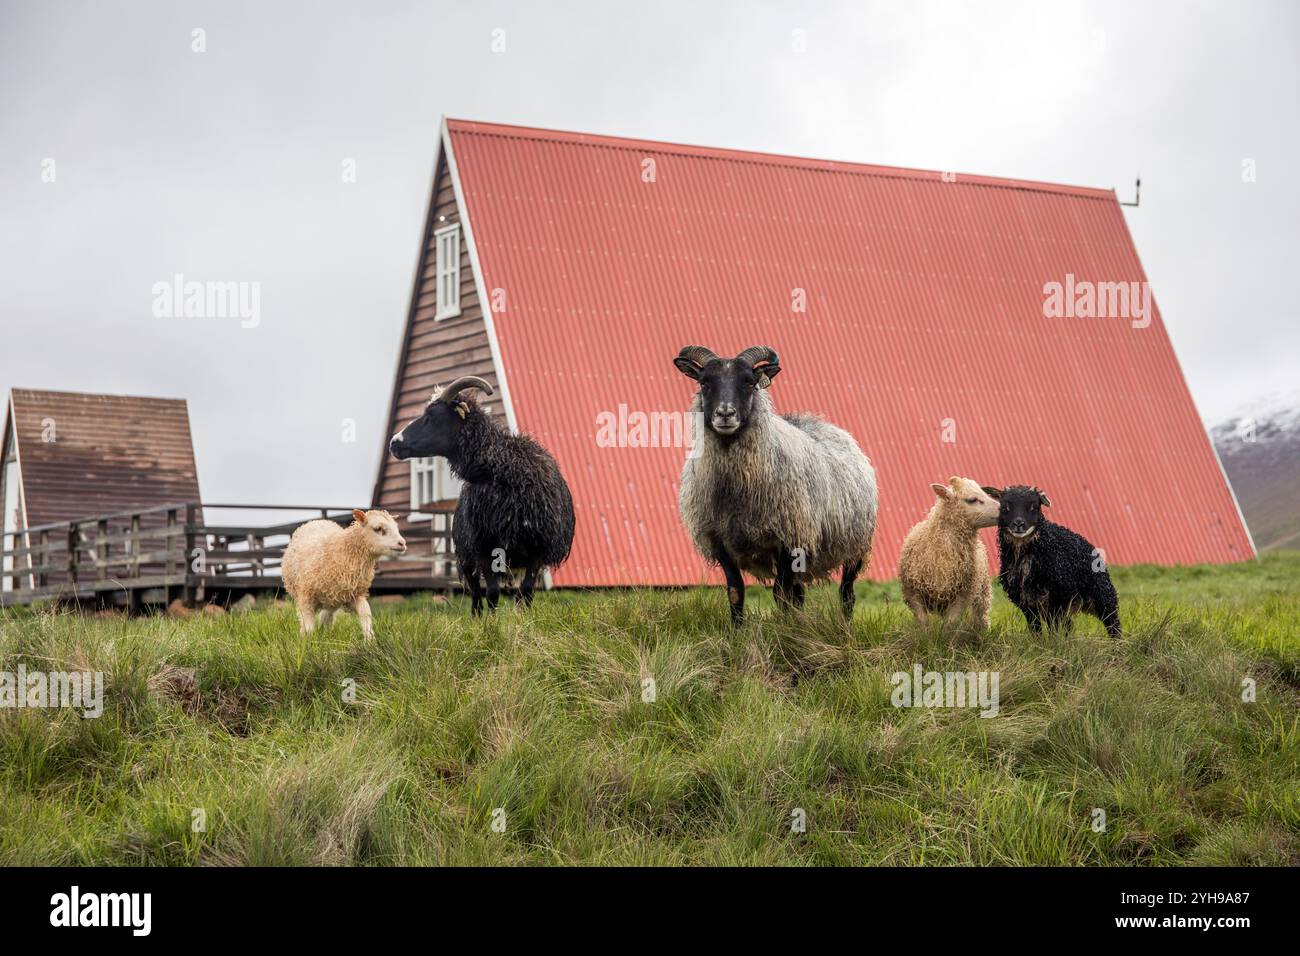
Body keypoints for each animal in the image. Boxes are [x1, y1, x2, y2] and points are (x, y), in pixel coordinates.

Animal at [281, 508, 407, 639]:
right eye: (378, 528)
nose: (402, 543)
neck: (341, 554)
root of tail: (317, 521)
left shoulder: (355, 594)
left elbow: (365, 612)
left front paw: (370, 639)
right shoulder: (306, 596)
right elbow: (308, 625)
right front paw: (309, 641)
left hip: (333, 599)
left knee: (326, 617)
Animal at [388, 376, 575, 615]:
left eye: (431, 416)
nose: (394, 442)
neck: (503, 468)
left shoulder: (538, 550)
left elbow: (526, 592)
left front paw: (525, 618)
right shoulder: (483, 547)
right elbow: (492, 593)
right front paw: (491, 623)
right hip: (466, 557)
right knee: (476, 594)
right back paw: (477, 617)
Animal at [673, 344, 878, 625]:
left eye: (749, 382)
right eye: (704, 382)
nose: (725, 414)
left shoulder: (790, 539)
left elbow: (781, 595)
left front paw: (784, 633)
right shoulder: (719, 540)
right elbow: (736, 592)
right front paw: (738, 633)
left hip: (855, 546)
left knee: (846, 593)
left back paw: (844, 628)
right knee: (799, 594)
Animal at [898, 477, 1000, 629]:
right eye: (972, 499)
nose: (1004, 509)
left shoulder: (962, 595)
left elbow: (950, 623)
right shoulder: (913, 593)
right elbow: (923, 622)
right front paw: (925, 635)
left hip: (983, 589)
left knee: (981, 614)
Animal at [991, 485, 1122, 637]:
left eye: (1034, 506)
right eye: (1005, 507)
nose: (1018, 523)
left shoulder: (1058, 596)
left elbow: (1054, 626)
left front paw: (1054, 641)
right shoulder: (1026, 601)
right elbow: (1035, 627)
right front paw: (1038, 641)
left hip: (1102, 593)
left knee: (1112, 622)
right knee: (1068, 624)